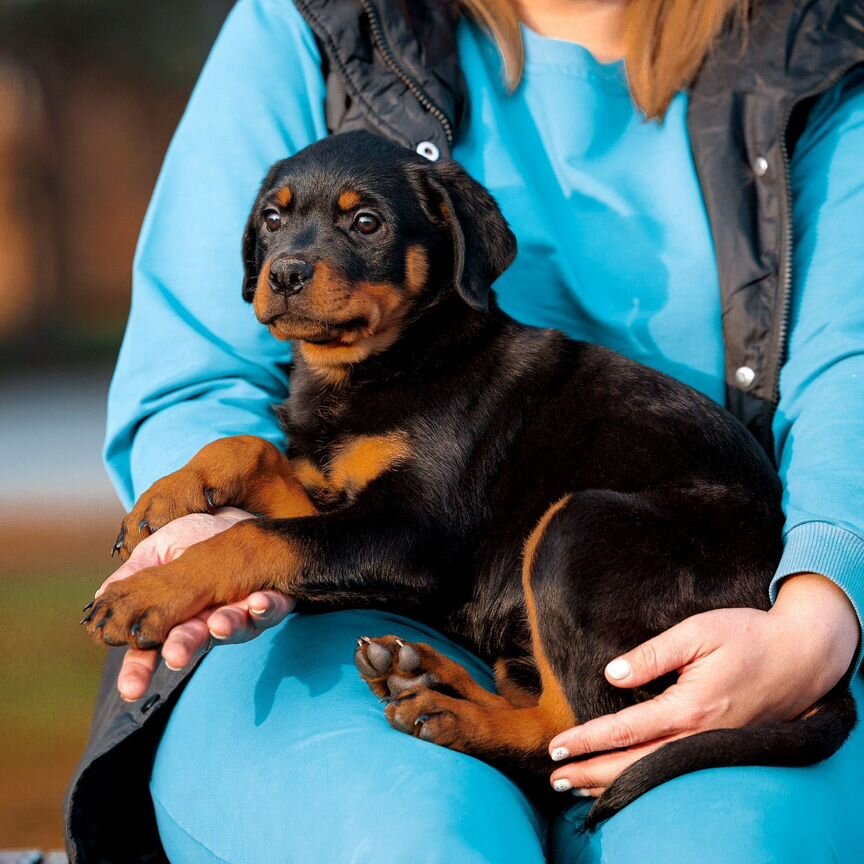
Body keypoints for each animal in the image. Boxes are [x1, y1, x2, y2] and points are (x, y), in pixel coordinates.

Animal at [84, 128, 852, 824]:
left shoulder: (413, 535)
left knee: (575, 734)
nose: (285, 274)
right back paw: (426, 673)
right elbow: (255, 450)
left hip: (576, 531)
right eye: (272, 218)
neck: (382, 366)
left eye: (367, 223)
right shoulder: (349, 501)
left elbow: (255, 538)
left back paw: (454, 714)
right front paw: (167, 498)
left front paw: (148, 592)